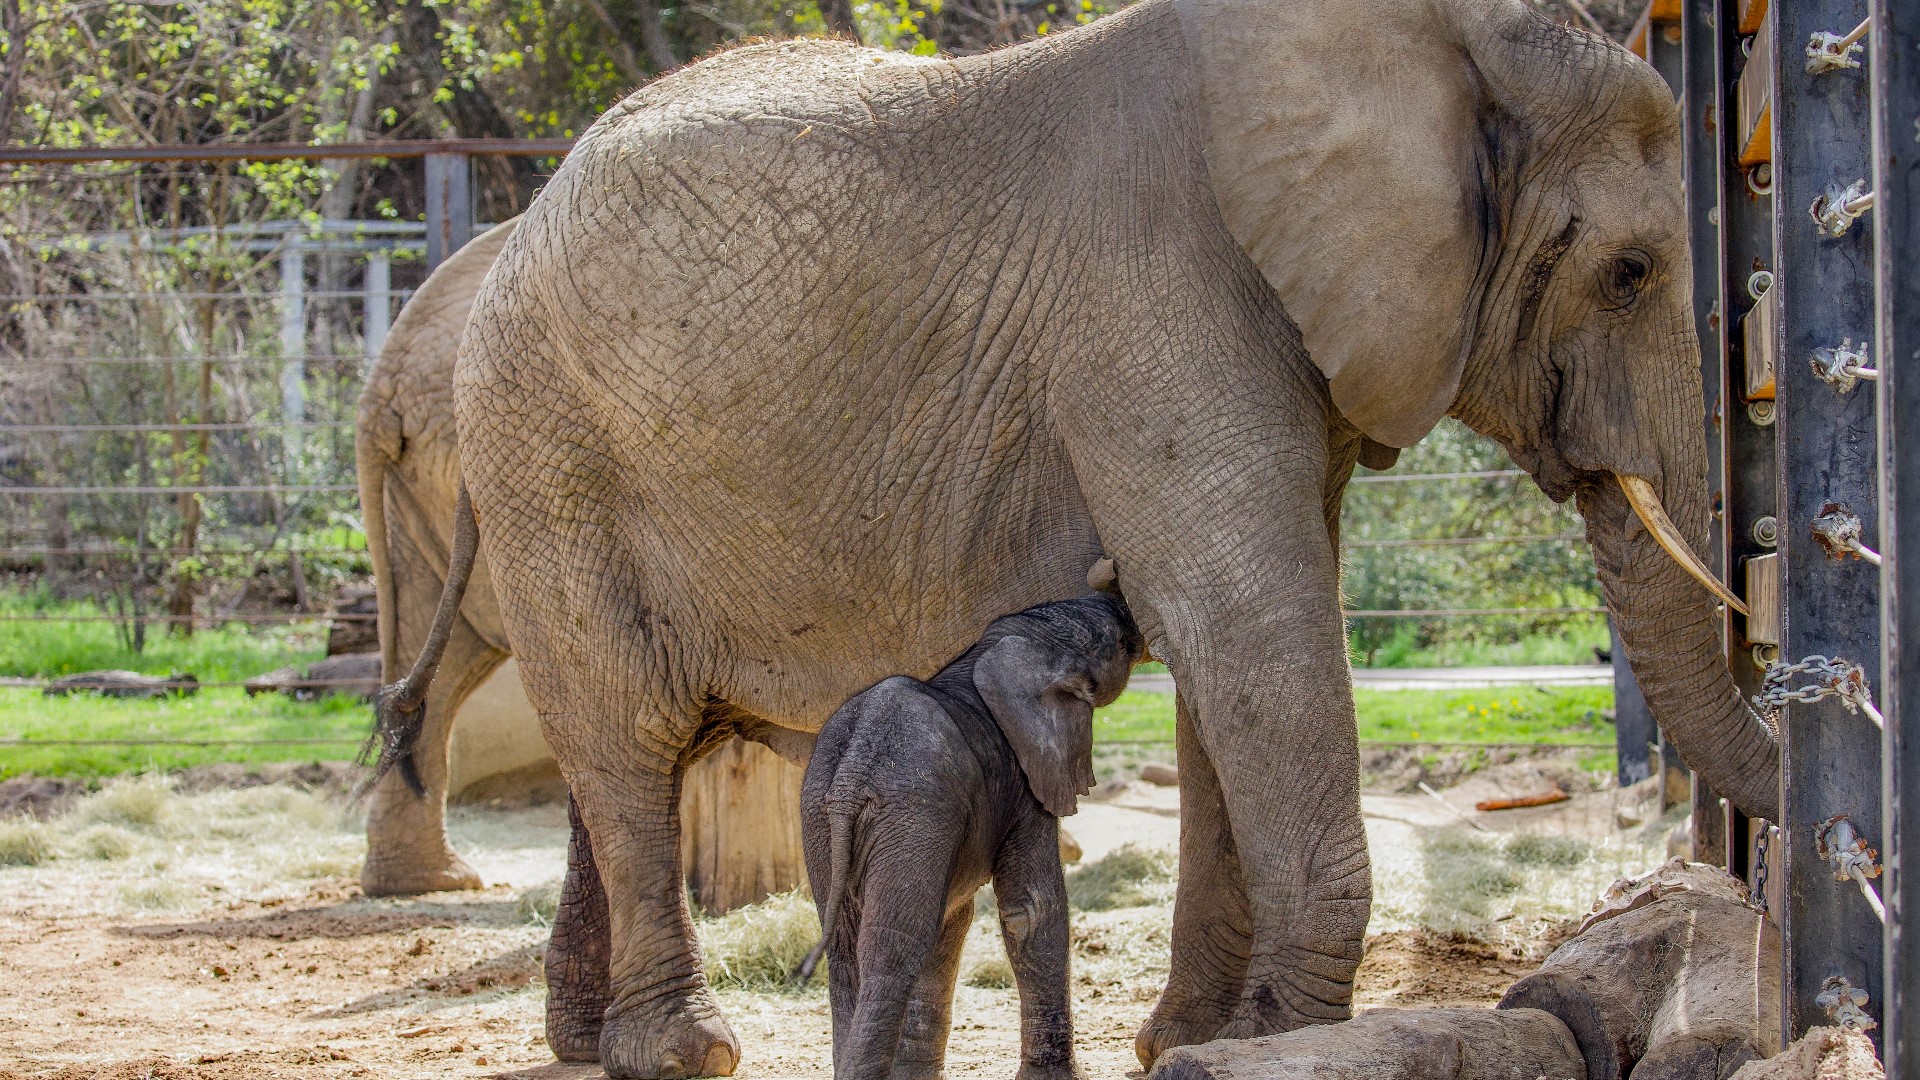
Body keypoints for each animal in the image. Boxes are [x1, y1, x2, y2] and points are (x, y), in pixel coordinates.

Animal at [798, 589, 1143, 1080]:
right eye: (1117, 641)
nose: (1118, 598)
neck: (1006, 645)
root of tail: (852, 770)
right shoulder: (1024, 781)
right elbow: (1032, 909)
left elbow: (952, 920)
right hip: (915, 809)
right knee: (892, 945)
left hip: (823, 815)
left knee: (847, 946)